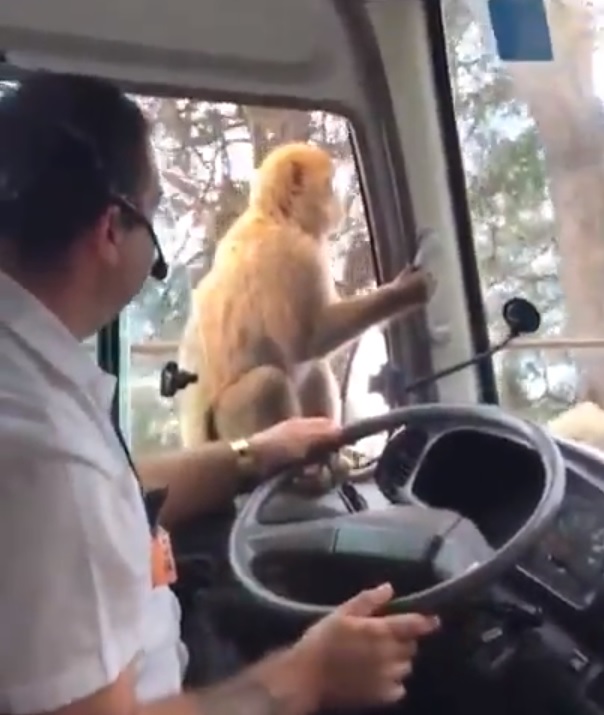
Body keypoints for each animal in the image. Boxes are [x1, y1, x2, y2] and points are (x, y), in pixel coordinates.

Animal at [177, 141, 435, 480]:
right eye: (329, 185)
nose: (338, 206)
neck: (276, 216)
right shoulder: (295, 254)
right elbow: (308, 339)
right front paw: (405, 291)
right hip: (227, 431)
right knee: (268, 383)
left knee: (313, 372)